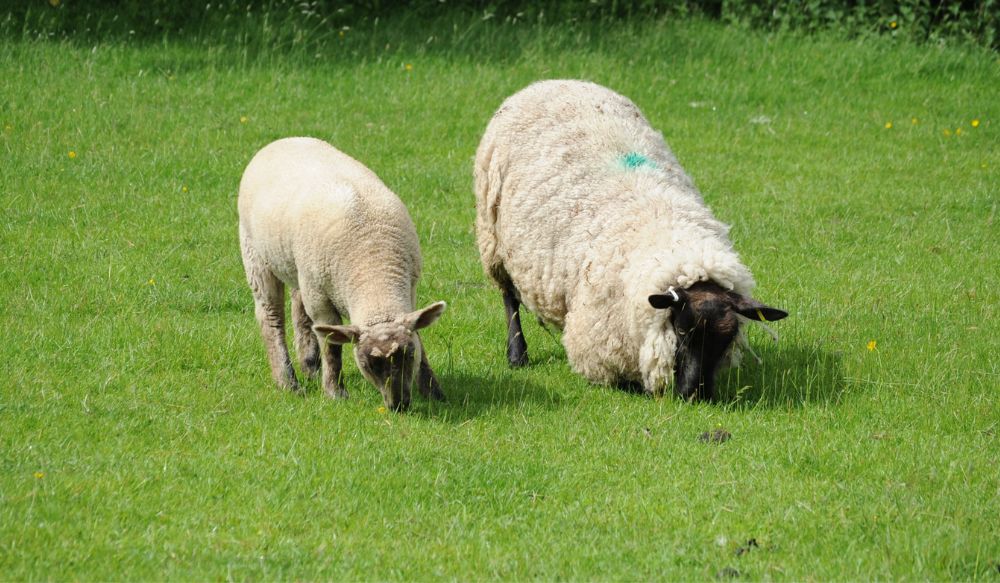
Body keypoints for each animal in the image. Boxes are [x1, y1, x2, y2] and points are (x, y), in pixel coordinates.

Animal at [238, 137, 446, 411]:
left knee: (298, 307)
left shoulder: (409, 291)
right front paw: (334, 392)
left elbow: (419, 336)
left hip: (297, 266)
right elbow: (332, 346)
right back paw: (288, 382)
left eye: (409, 354)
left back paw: (310, 365)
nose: (398, 405)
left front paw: (433, 391)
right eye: (367, 364)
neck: (372, 269)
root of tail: (283, 140)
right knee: (270, 317)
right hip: (256, 256)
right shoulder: (321, 300)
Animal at [474, 80, 788, 400]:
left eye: (727, 338)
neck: (670, 238)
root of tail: (553, 81)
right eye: (682, 330)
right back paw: (517, 354)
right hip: (494, 237)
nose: (695, 395)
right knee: (509, 298)